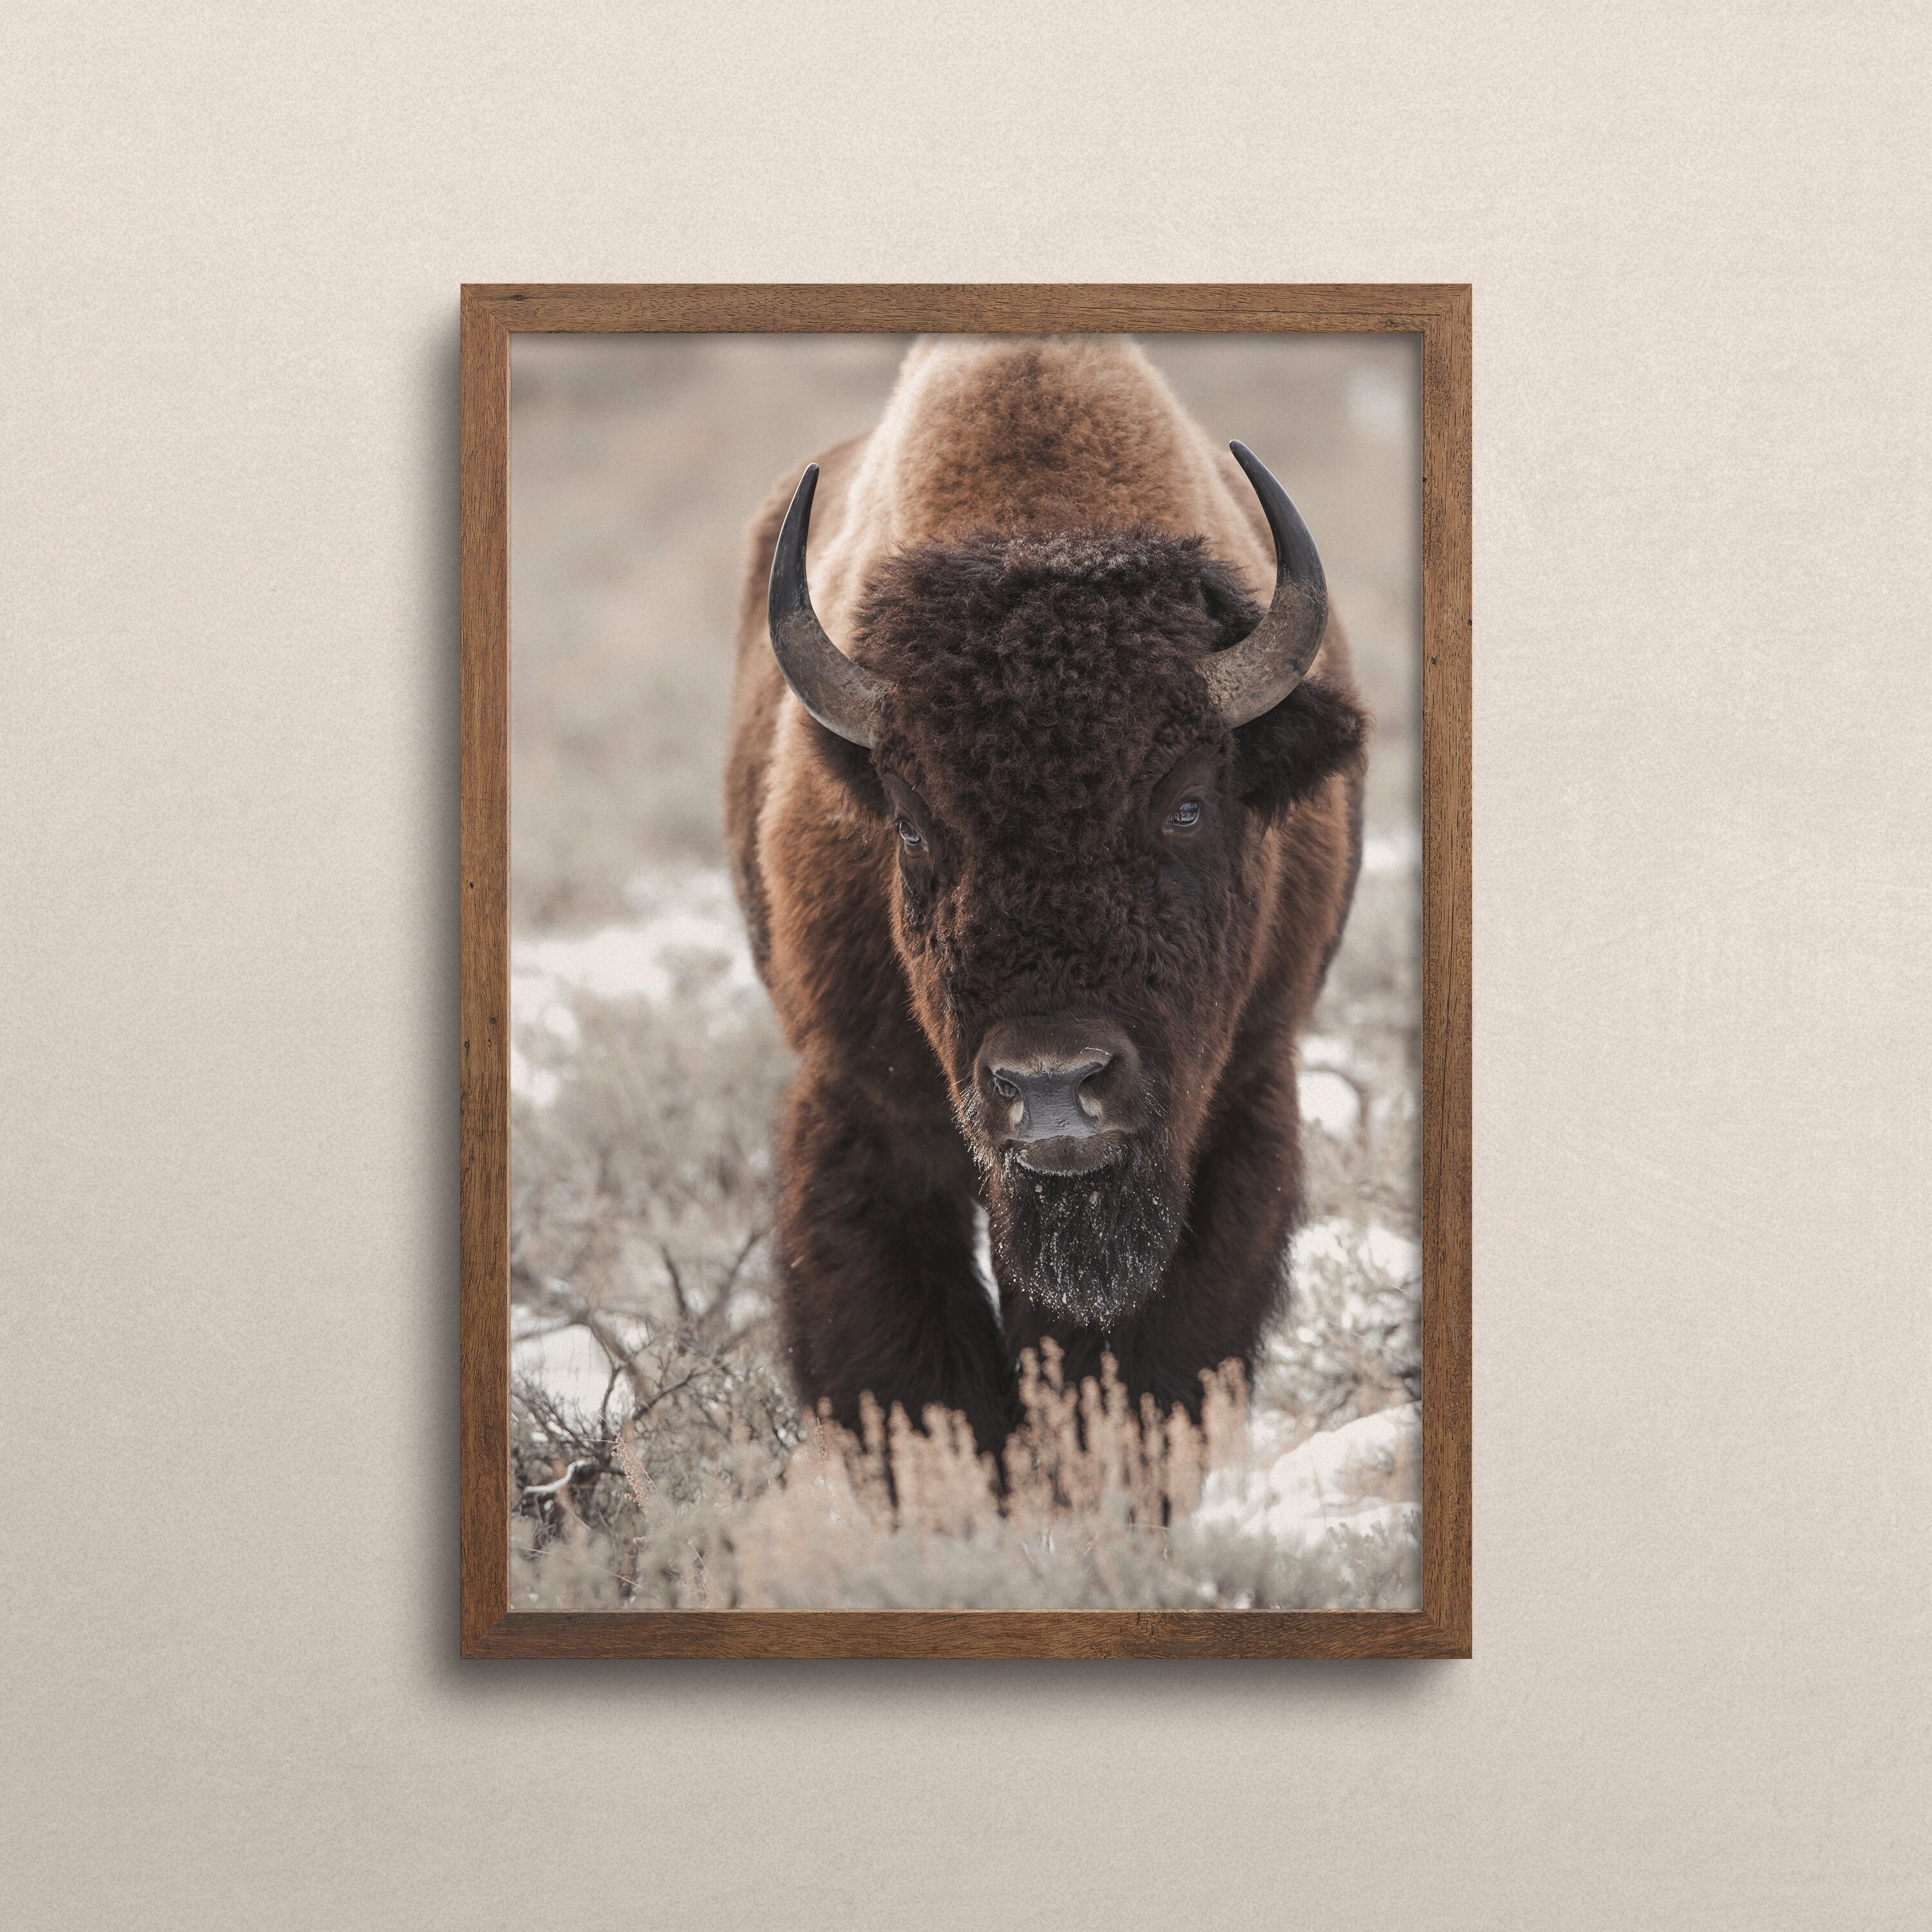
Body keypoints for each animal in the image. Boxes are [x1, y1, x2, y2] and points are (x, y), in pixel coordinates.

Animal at [725, 337, 1368, 1456]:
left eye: (1189, 802)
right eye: (910, 823)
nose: (1054, 1085)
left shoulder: (1239, 1099)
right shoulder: (863, 1112)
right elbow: (916, 1373)